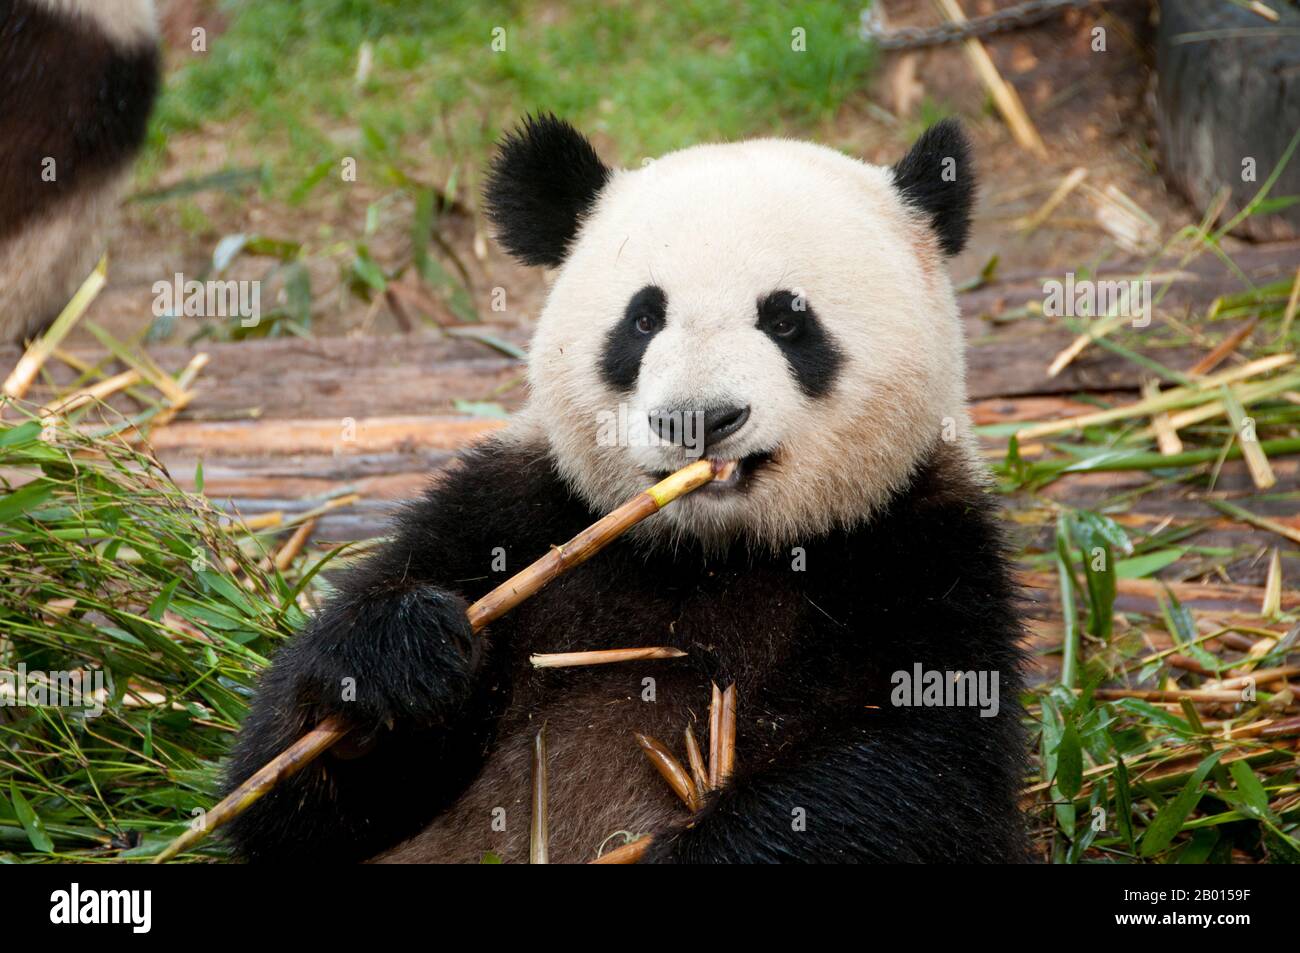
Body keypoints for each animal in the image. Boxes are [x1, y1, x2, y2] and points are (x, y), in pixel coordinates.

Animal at [225, 115, 1028, 864]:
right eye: (643, 319)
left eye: (786, 318)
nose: (697, 419)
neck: (712, 554)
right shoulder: (514, 511)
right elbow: (285, 805)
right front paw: (392, 661)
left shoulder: (923, 559)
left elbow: (901, 783)